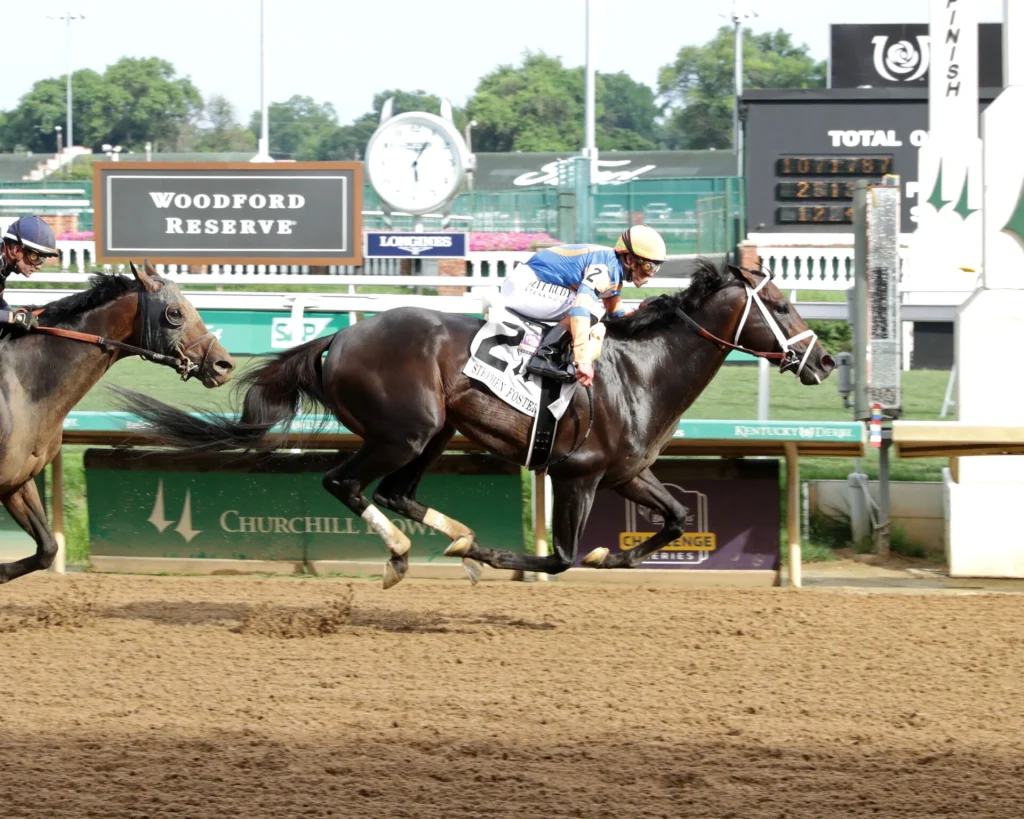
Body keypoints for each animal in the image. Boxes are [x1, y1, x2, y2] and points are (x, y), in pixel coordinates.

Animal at [113, 259, 834, 588]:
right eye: (779, 303)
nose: (825, 359)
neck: (640, 370)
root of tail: (336, 338)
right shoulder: (579, 474)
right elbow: (559, 557)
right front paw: (502, 555)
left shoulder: (627, 473)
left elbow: (680, 517)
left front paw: (614, 554)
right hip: (404, 430)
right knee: (346, 484)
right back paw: (410, 554)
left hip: (436, 431)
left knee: (396, 492)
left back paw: (454, 537)